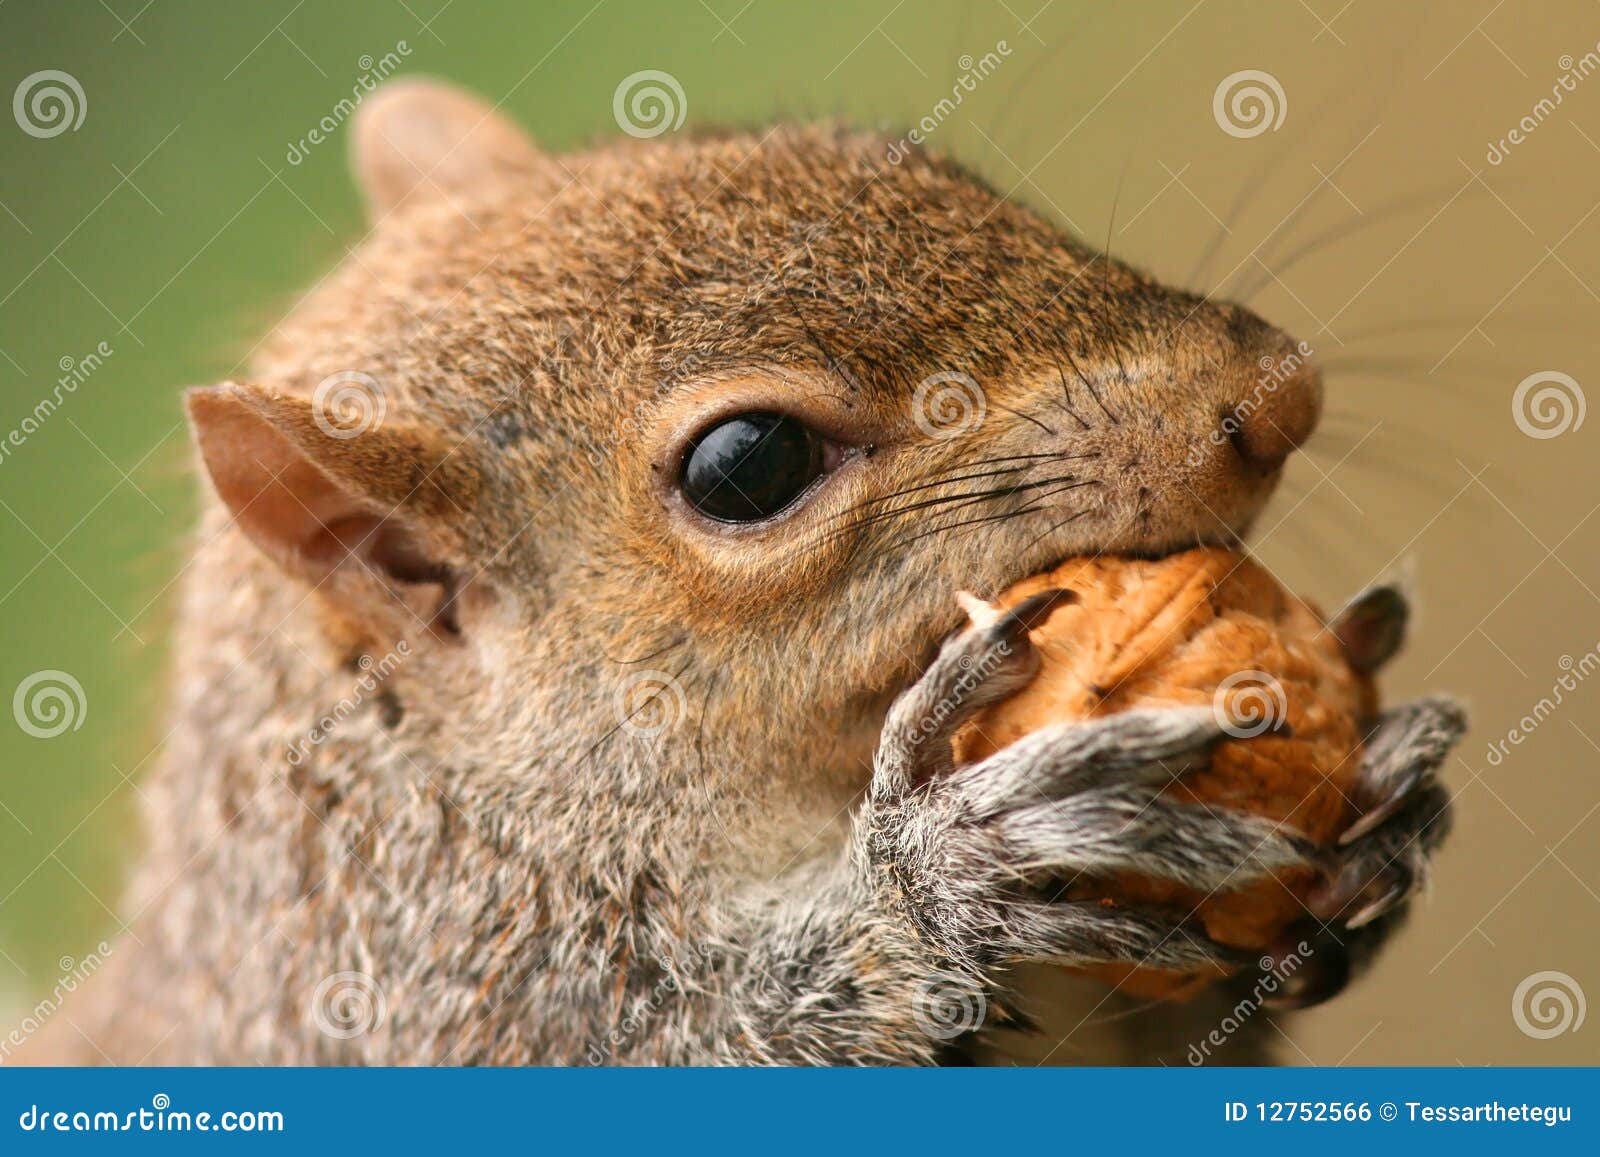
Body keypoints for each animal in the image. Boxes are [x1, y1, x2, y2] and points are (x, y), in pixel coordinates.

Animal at [28, 80, 1463, 1066]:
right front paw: (949, 882)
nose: (1279, 392)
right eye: (747, 466)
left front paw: (1380, 808)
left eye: (917, 161)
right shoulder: (428, 997)